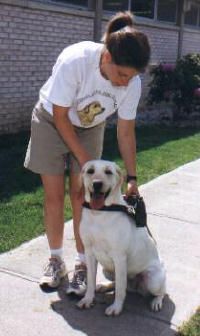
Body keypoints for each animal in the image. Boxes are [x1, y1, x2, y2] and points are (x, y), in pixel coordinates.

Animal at [77, 160, 166, 316]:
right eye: (90, 171)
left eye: (108, 172)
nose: (97, 184)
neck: (100, 213)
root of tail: (135, 287)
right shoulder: (89, 252)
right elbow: (91, 281)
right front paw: (88, 299)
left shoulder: (119, 257)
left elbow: (119, 290)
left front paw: (116, 308)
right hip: (107, 269)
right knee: (118, 283)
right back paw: (104, 285)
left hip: (153, 280)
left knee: (161, 291)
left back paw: (157, 301)